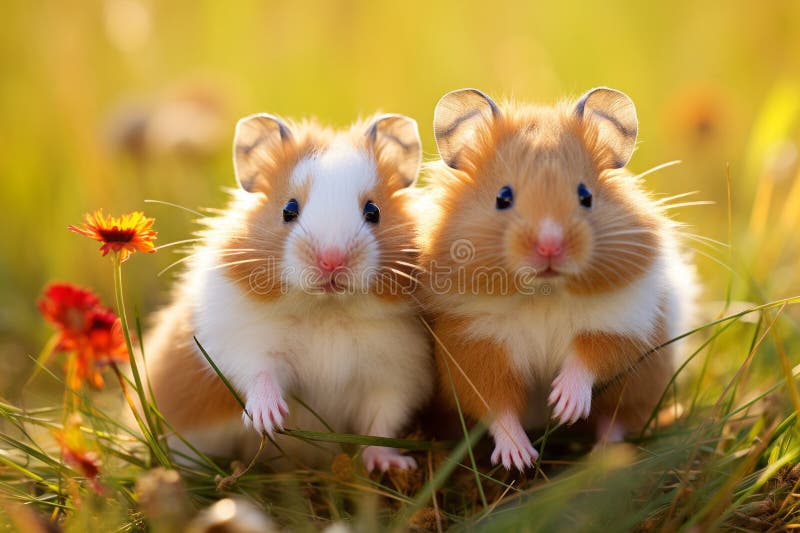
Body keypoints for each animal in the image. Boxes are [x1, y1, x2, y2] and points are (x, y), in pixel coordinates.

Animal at [145, 113, 433, 471]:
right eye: (289, 209)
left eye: (373, 211)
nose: (331, 261)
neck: (328, 310)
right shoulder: (241, 339)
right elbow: (258, 372)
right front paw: (269, 421)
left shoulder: (395, 373)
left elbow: (382, 423)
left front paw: (394, 464)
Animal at [419, 87, 697, 471]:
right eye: (503, 198)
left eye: (586, 196)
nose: (549, 246)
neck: (543, 293)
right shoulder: (474, 345)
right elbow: (497, 404)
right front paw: (520, 460)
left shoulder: (620, 323)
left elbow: (591, 359)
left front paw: (564, 407)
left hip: (645, 379)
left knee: (617, 419)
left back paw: (602, 455)